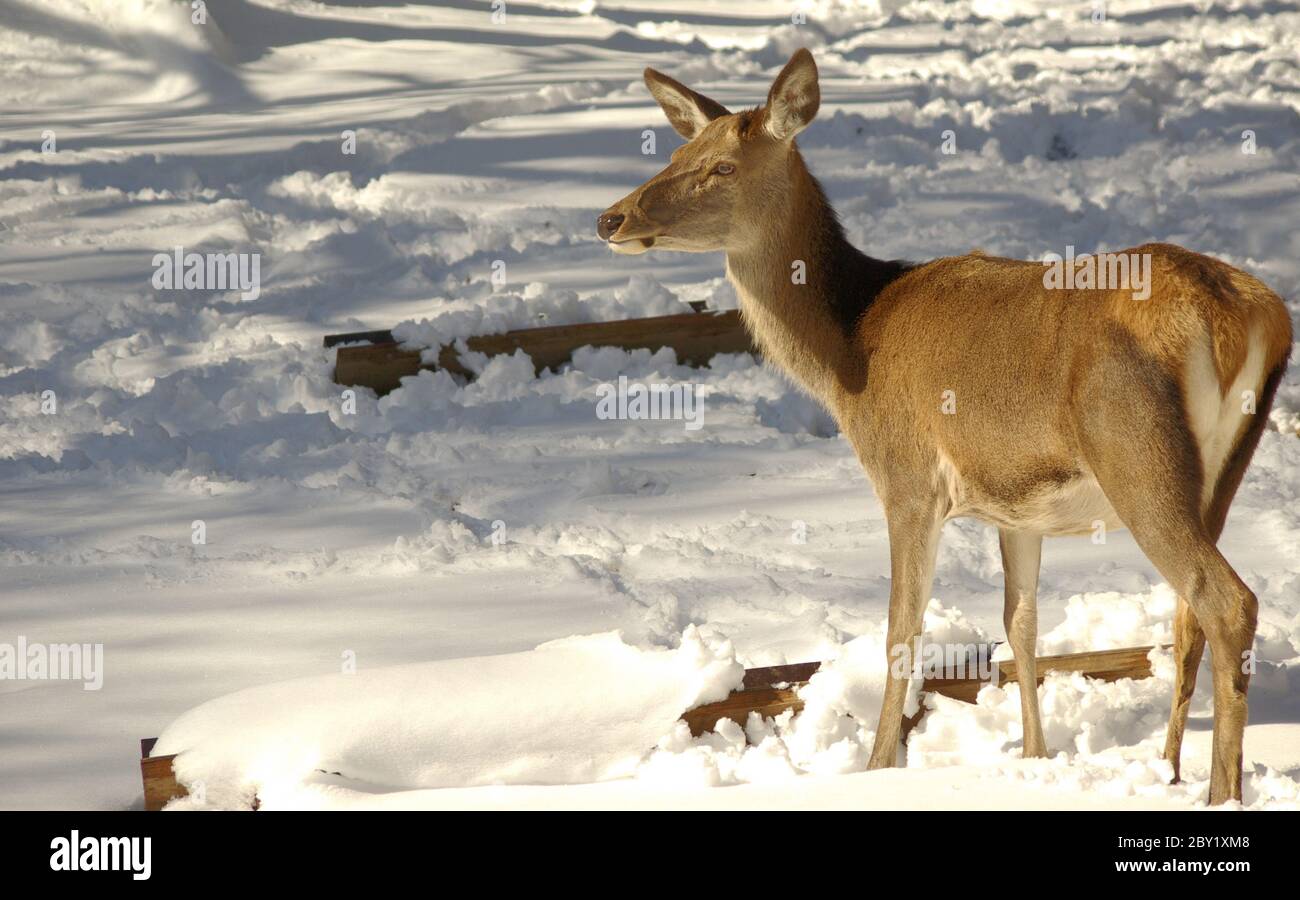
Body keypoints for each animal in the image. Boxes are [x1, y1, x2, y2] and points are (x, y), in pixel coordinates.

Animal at [596, 48, 1292, 804]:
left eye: (722, 166)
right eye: (677, 151)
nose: (610, 217)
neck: (850, 354)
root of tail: (1245, 315)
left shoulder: (907, 479)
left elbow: (902, 630)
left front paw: (877, 768)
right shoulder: (1017, 506)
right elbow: (1020, 623)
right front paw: (1033, 757)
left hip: (1136, 455)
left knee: (1227, 600)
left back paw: (1221, 790)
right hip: (1219, 470)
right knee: (1188, 614)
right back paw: (1170, 769)